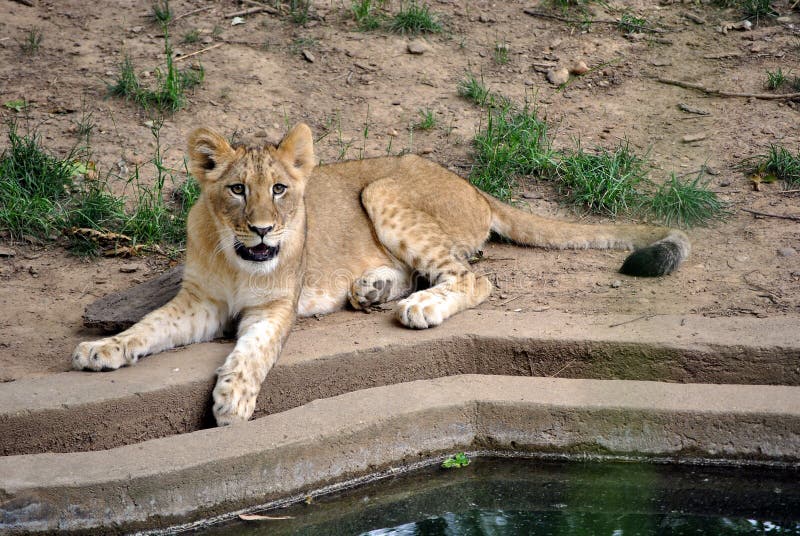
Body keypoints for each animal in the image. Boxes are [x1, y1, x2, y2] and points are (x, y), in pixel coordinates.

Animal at [73, 123, 690, 426]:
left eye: (281, 189)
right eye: (237, 190)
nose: (266, 231)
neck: (235, 255)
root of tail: (471, 184)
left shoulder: (275, 307)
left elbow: (252, 355)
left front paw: (232, 402)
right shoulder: (200, 302)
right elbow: (147, 326)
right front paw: (101, 349)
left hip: (383, 190)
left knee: (472, 278)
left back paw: (419, 307)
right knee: (428, 272)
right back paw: (372, 288)